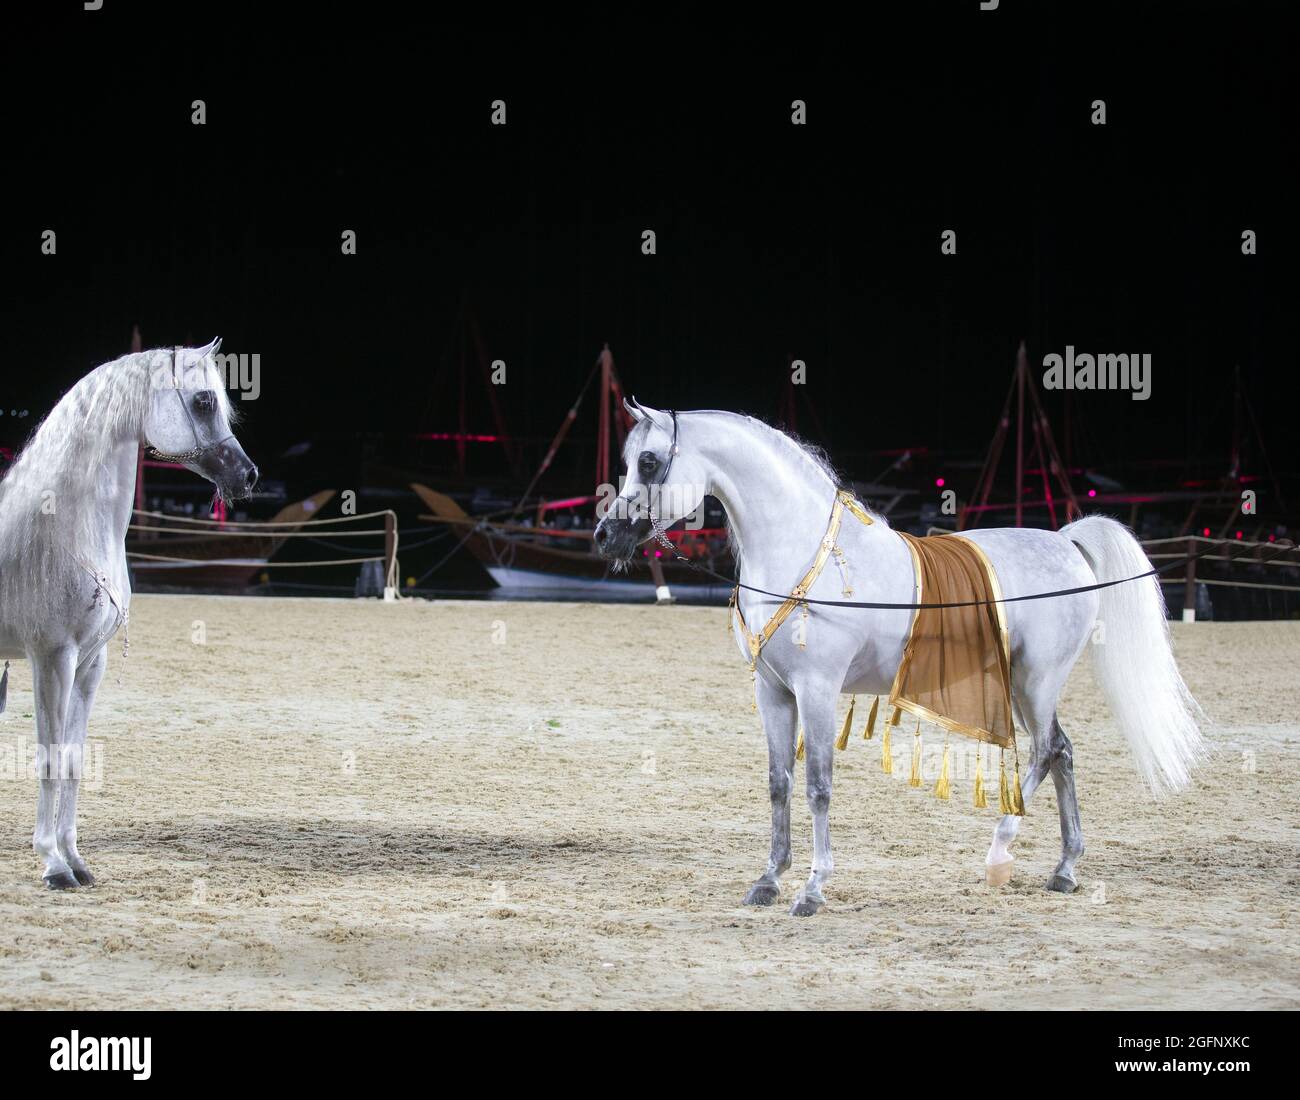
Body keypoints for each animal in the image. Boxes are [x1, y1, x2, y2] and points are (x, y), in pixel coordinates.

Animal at [0, 339, 257, 888]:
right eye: (204, 401)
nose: (248, 476)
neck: (65, 527)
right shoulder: (52, 658)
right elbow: (49, 759)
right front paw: (53, 865)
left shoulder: (89, 664)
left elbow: (74, 760)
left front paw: (76, 860)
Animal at [594, 401, 1204, 916]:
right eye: (628, 462)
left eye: (649, 462)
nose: (605, 535)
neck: (805, 554)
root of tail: (1067, 542)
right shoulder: (773, 692)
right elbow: (779, 783)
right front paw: (768, 880)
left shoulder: (817, 689)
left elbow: (817, 785)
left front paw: (813, 889)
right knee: (1064, 754)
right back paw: (1064, 869)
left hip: (1036, 681)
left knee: (1047, 751)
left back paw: (1000, 854)